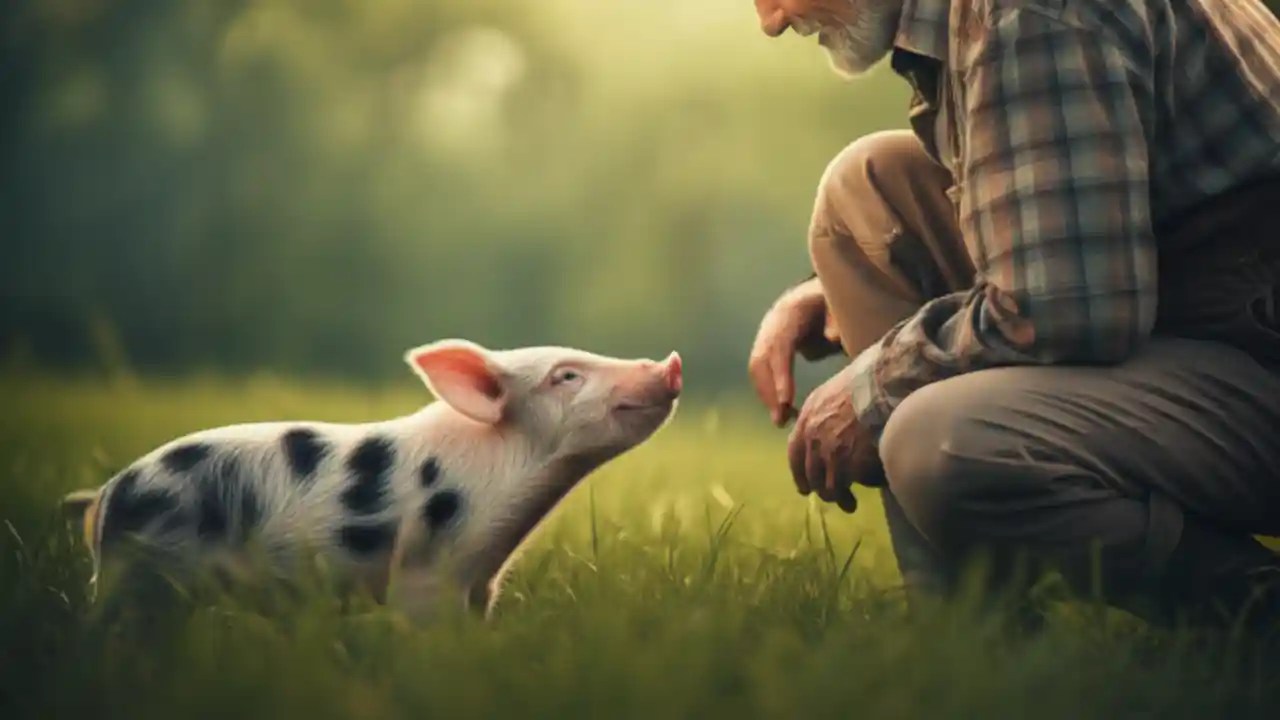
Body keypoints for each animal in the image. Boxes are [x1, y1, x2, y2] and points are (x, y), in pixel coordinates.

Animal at [61, 339, 682, 620]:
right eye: (566, 376)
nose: (669, 363)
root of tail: (107, 496)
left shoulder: (479, 586)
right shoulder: (426, 570)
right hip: (142, 575)